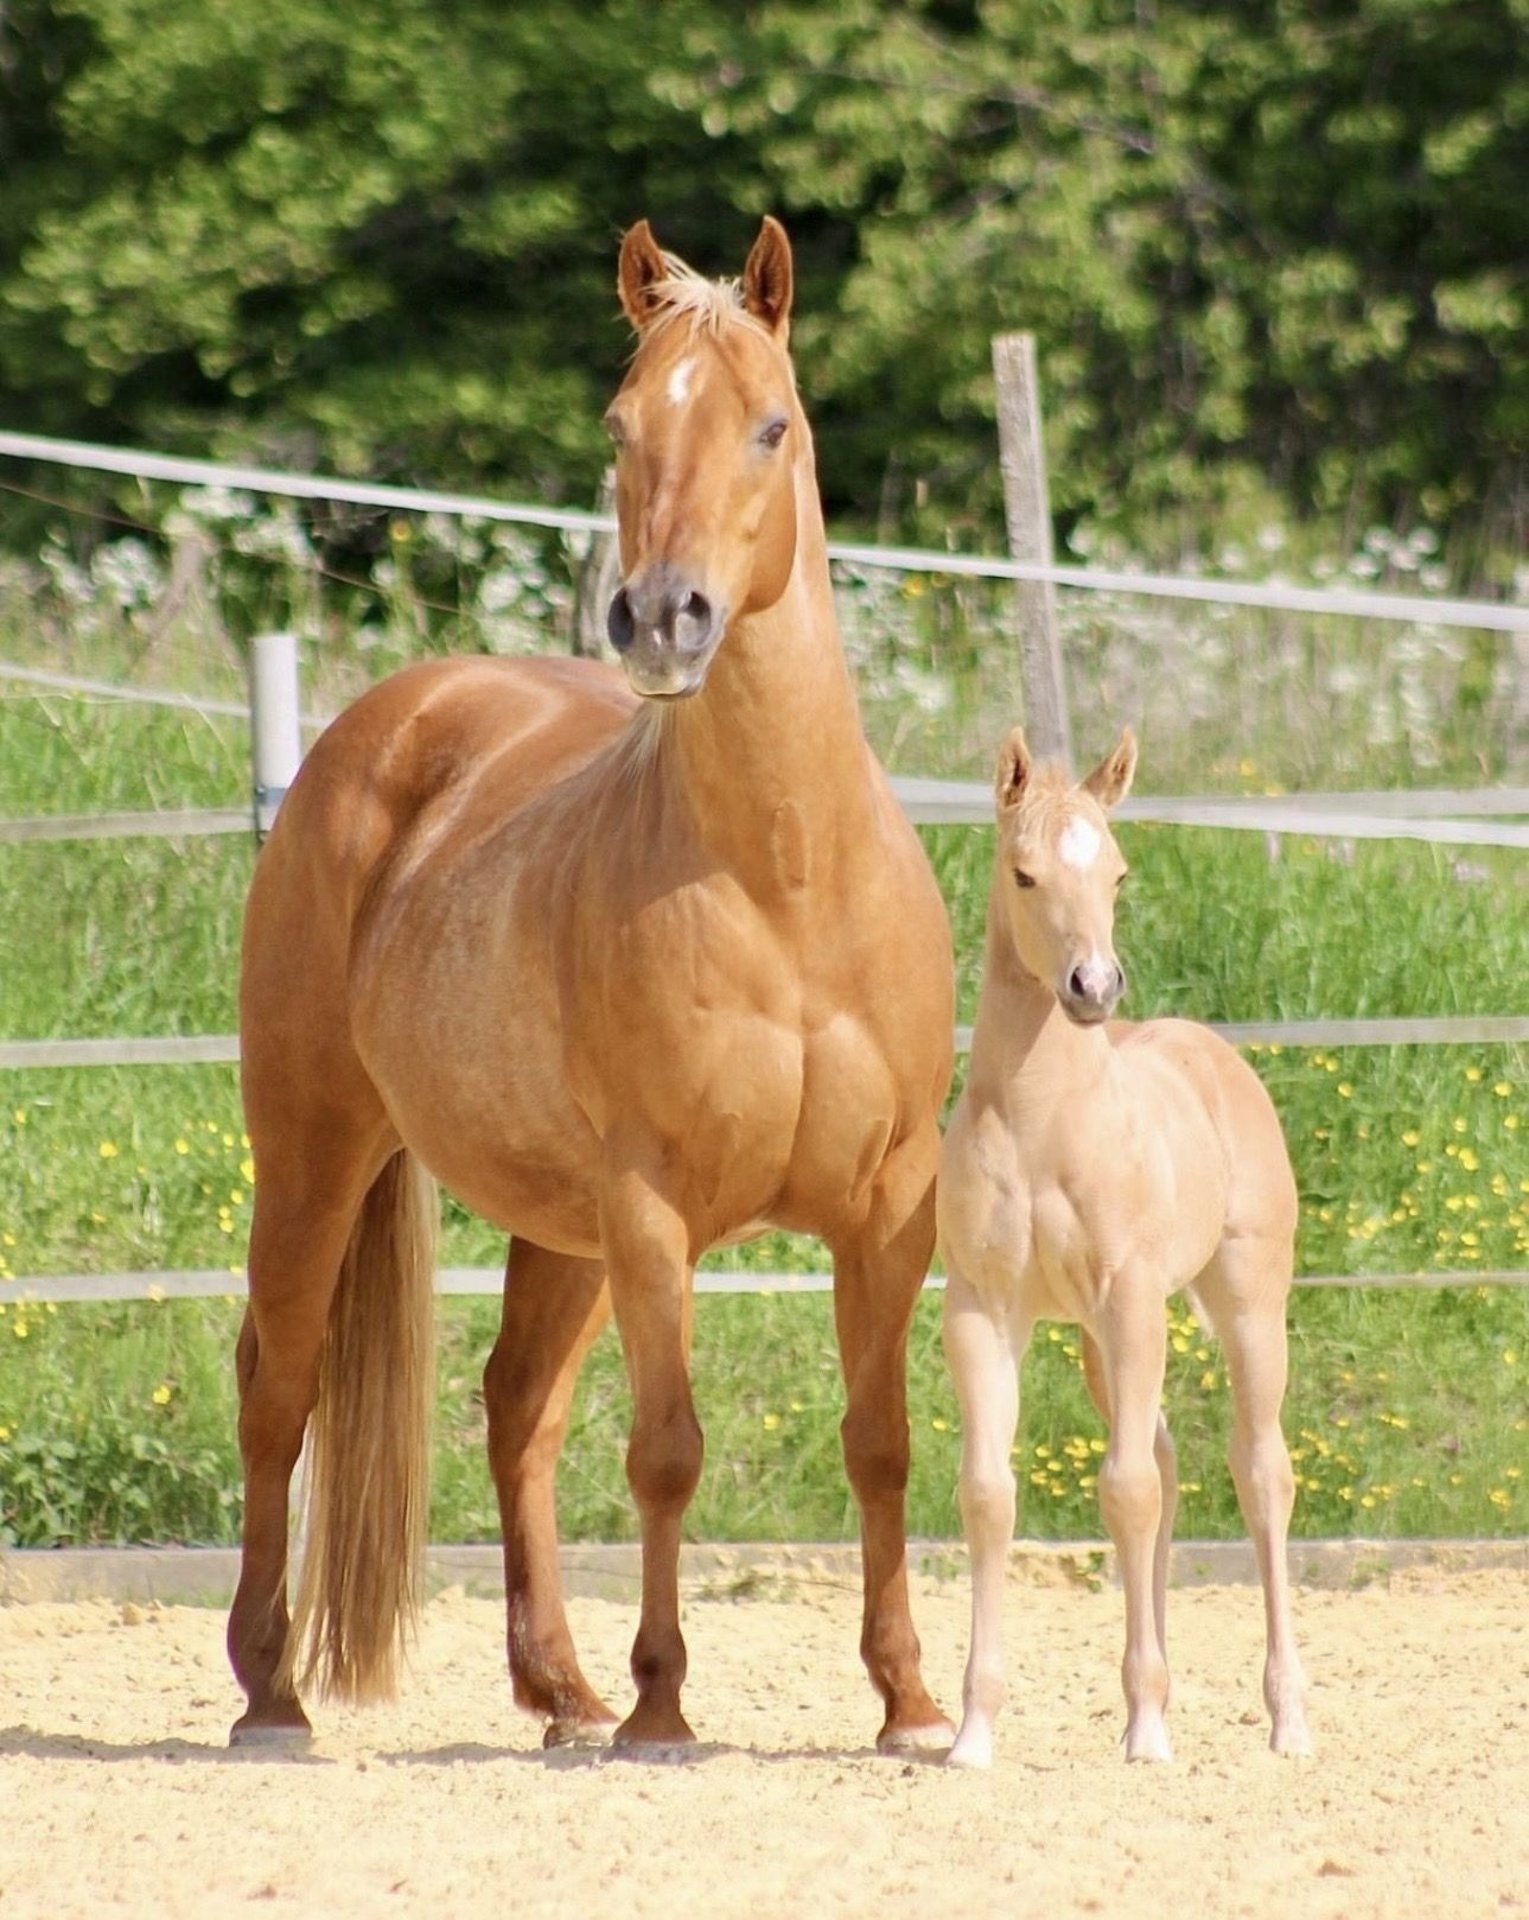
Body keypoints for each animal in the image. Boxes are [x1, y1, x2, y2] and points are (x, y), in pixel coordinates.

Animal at [228, 217, 956, 1755]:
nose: (663, 617)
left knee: (516, 1412)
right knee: (279, 1388)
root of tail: (386, 725)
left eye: (769, 425)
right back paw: (272, 1692)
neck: (786, 880)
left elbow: (879, 1442)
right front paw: (664, 1708)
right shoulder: (652, 1206)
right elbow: (667, 1450)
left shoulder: (886, 1206)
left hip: (553, 1226)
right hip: (316, 1153)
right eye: (623, 428)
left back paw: (558, 1691)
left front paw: (911, 1704)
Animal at [936, 726, 1311, 1767]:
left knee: (1257, 1472)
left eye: (1116, 873)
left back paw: (1285, 1719)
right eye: (1023, 874)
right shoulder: (981, 1309)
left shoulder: (1130, 1296)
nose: (1094, 987)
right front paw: (973, 1732)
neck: (1041, 1124)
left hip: (1243, 1305)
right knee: (1172, 1467)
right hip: (1099, 1342)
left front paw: (1147, 1733)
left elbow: (1127, 1491)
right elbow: (990, 1495)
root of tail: (1210, 1050)